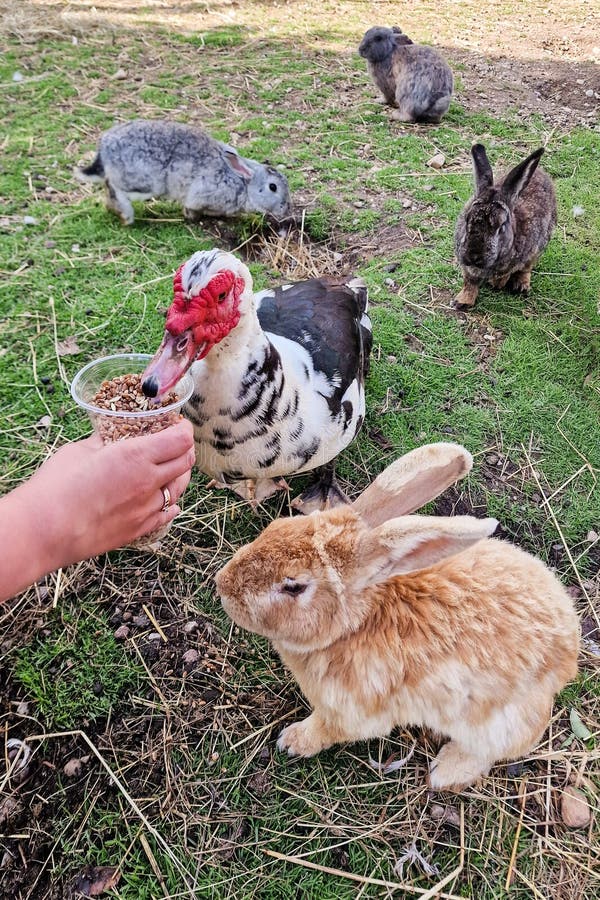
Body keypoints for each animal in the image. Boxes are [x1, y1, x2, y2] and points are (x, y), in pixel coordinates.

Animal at [74, 119, 292, 225]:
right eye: (273, 187)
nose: (286, 209)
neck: (243, 183)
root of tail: (104, 147)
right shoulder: (203, 194)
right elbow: (192, 206)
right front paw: (192, 217)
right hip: (145, 182)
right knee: (113, 186)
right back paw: (125, 216)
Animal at [216, 443, 579, 792]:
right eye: (275, 527)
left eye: (294, 586)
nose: (222, 585)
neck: (354, 625)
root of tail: (569, 654)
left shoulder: (351, 712)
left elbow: (326, 729)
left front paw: (292, 741)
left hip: (496, 722)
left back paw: (446, 773)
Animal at [454, 143, 557, 308]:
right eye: (466, 219)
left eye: (501, 226)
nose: (473, 256)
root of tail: (541, 173)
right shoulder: (467, 267)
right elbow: (469, 282)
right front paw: (462, 301)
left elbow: (510, 272)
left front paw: (498, 283)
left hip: (540, 245)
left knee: (526, 268)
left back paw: (520, 286)